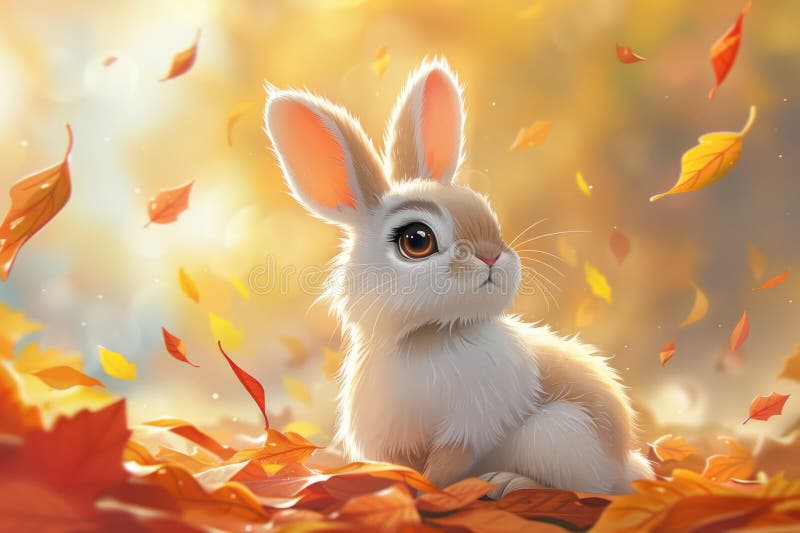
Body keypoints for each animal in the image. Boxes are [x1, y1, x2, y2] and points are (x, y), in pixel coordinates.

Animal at [264, 57, 654, 495]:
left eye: (485, 210)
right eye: (417, 240)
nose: (492, 256)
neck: (428, 336)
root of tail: (622, 466)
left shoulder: (473, 422)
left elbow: (449, 461)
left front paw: (434, 489)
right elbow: (404, 464)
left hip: (556, 435)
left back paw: (507, 481)